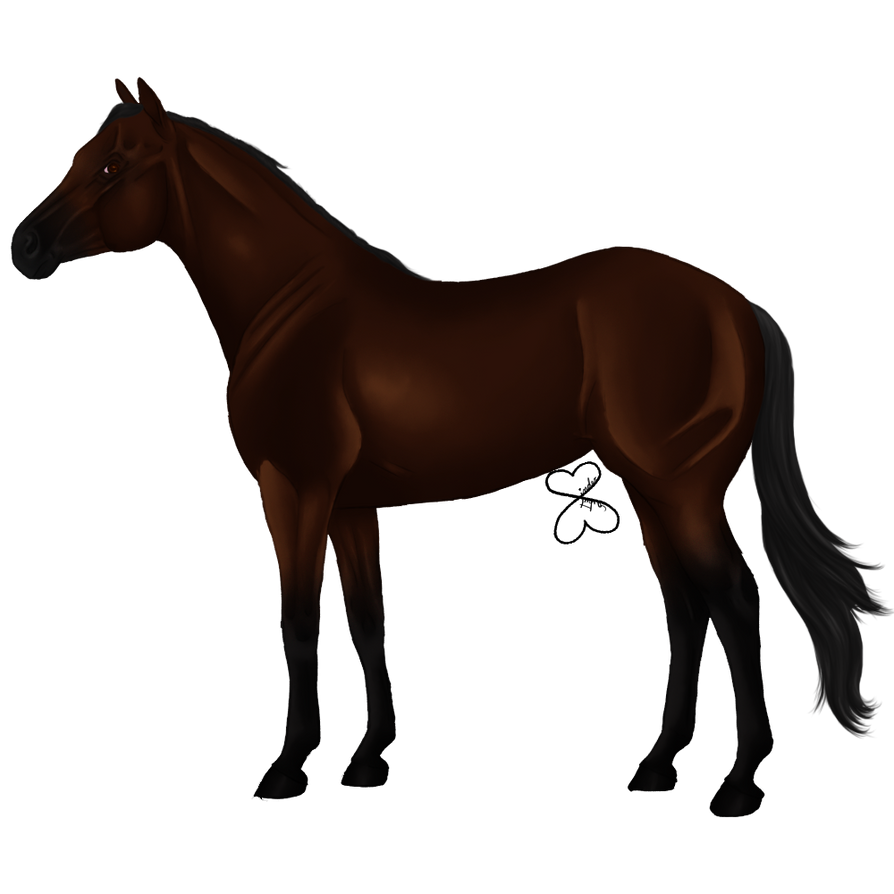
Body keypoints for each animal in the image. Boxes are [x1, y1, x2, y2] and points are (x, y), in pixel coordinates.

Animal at [9, 75, 890, 818]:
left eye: (115, 166)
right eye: (81, 157)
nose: (24, 246)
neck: (289, 305)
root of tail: (736, 304)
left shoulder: (293, 488)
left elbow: (298, 621)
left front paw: (287, 768)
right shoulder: (353, 505)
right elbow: (367, 619)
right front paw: (368, 760)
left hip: (684, 489)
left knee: (734, 602)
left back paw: (738, 784)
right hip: (648, 490)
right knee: (684, 607)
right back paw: (655, 766)